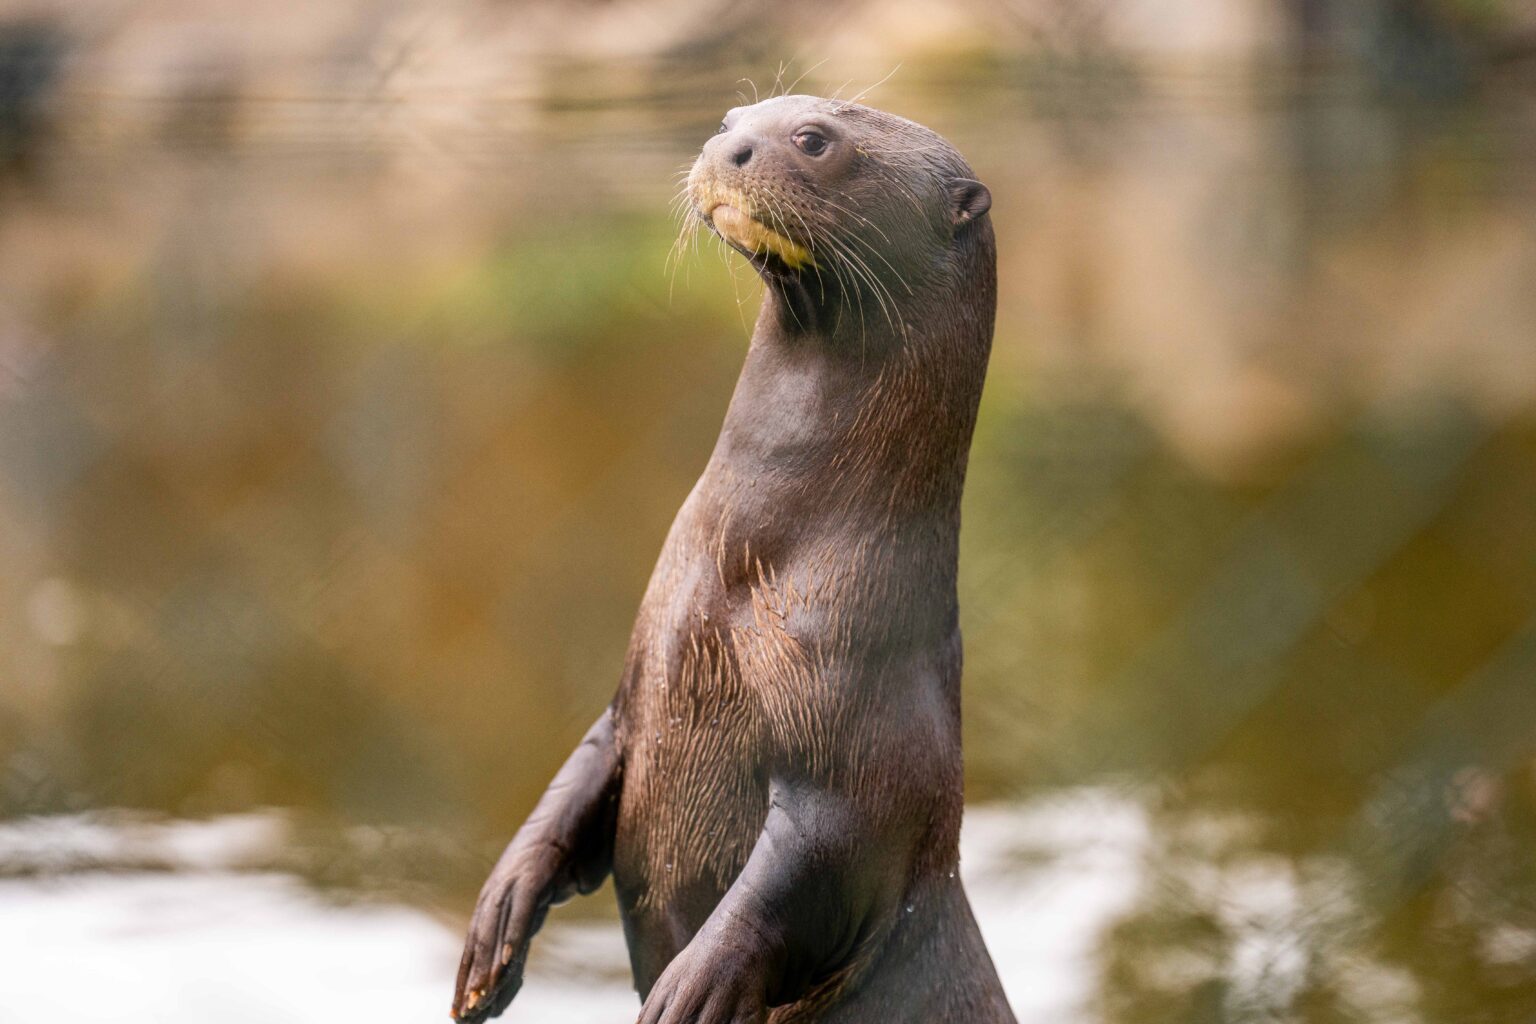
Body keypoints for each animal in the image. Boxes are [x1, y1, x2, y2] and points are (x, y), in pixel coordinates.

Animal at [452, 95, 1012, 1024]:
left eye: (814, 139)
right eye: (733, 115)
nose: (728, 146)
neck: (743, 573)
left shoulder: (858, 761)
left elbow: (798, 878)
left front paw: (690, 986)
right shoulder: (636, 686)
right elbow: (574, 782)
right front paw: (500, 910)